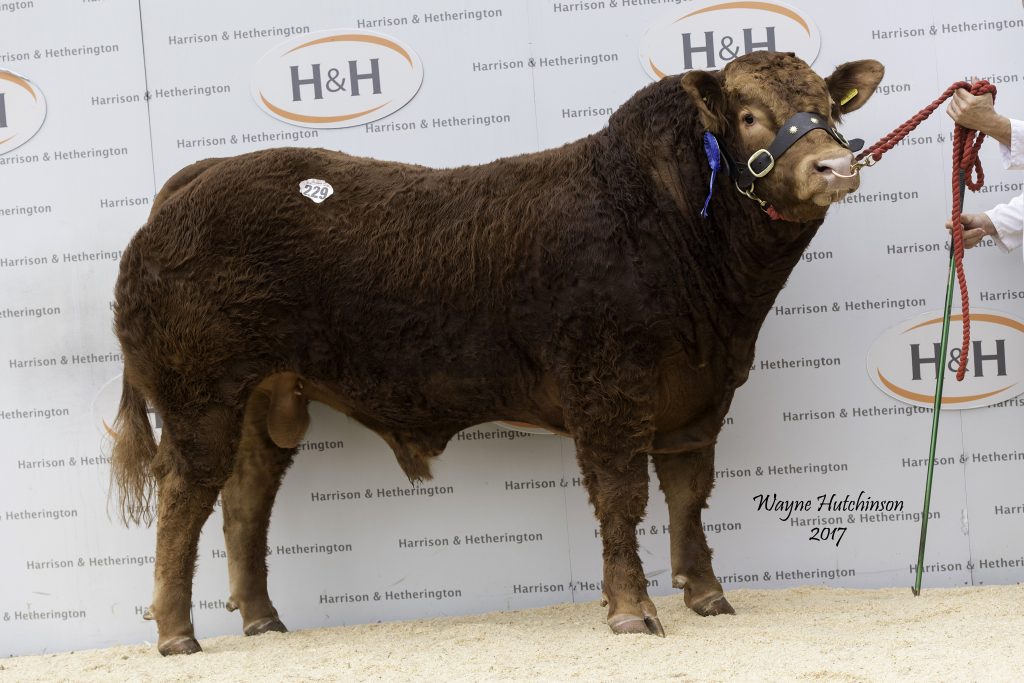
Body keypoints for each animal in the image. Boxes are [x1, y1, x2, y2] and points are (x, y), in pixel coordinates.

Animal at [111, 51, 884, 655]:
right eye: (749, 116)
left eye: (828, 108)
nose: (836, 164)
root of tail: (201, 177)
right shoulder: (608, 388)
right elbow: (621, 497)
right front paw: (631, 612)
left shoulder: (699, 397)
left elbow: (689, 496)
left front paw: (709, 597)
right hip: (197, 395)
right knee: (184, 497)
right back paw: (176, 633)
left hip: (266, 398)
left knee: (245, 499)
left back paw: (263, 621)